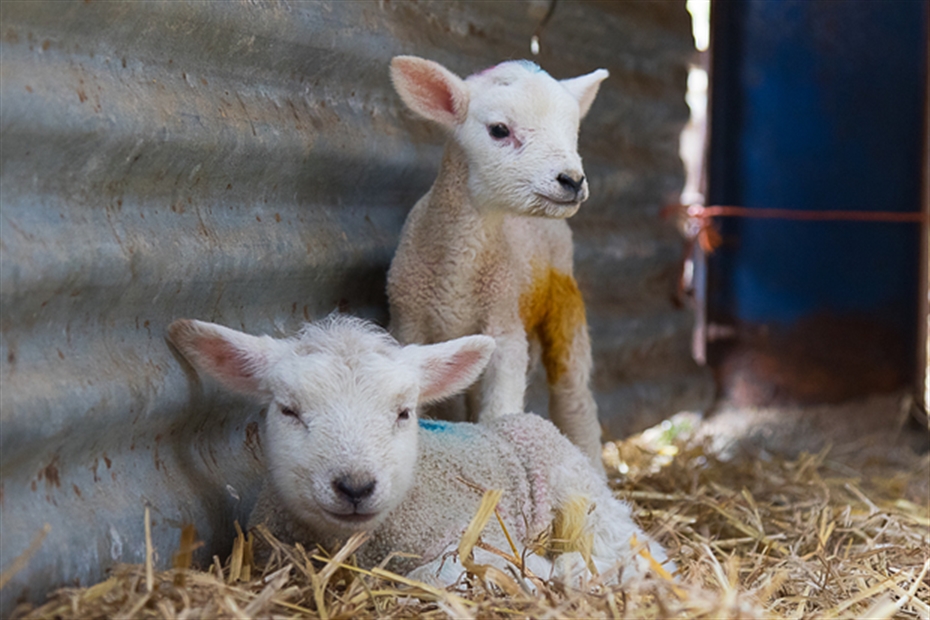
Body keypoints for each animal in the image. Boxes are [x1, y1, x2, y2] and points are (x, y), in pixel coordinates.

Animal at [167, 315, 671, 586]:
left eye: (404, 412)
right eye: (289, 410)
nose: (355, 486)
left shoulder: (473, 537)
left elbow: (439, 574)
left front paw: (543, 573)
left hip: (579, 494)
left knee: (636, 548)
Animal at [386, 56, 609, 473]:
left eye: (573, 132)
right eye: (500, 130)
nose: (572, 180)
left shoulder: (505, 326)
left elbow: (501, 412)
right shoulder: (409, 324)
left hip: (563, 303)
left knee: (573, 397)